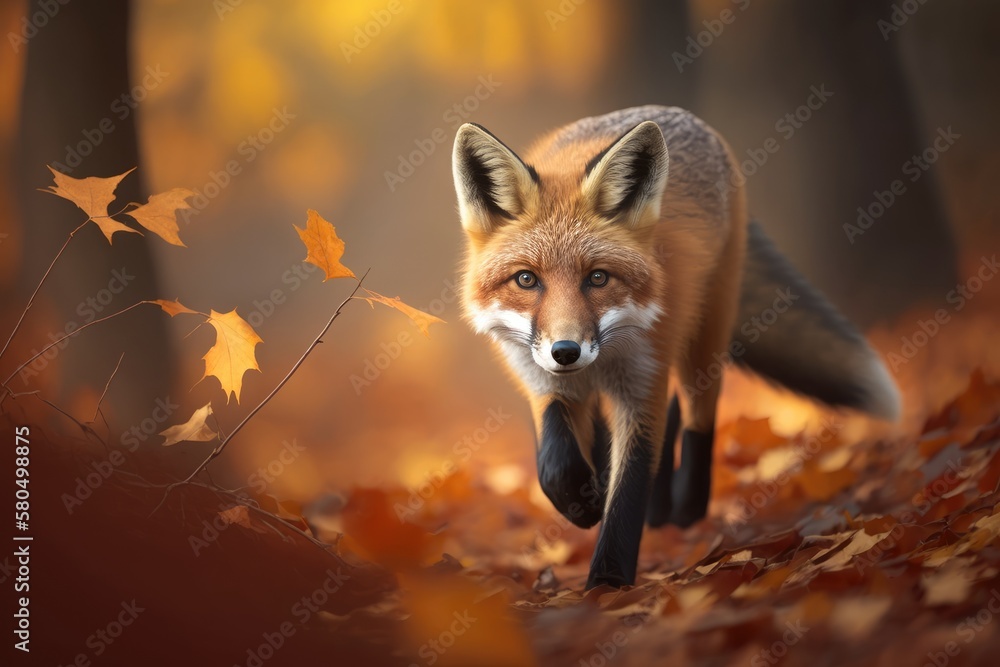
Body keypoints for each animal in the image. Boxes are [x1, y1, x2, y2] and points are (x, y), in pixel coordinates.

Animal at [452, 105, 901, 589]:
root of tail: (679, 114)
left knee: (697, 413)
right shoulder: (541, 378)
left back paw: (684, 506)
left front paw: (607, 583)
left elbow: (629, 487)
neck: (601, 360)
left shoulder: (640, 382)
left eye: (598, 278)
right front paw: (581, 500)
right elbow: (554, 459)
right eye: (526, 280)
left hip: (703, 337)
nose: (566, 351)